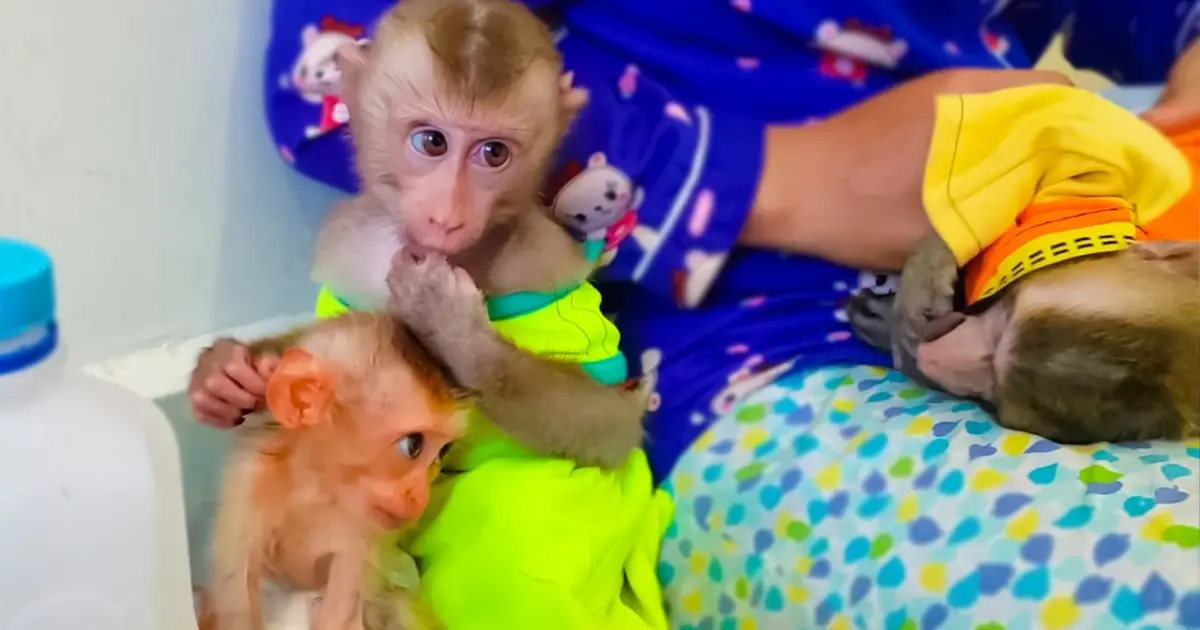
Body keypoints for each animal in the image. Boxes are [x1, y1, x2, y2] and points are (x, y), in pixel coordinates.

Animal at [198, 312, 468, 630]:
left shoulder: (364, 525)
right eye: (413, 445)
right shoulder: (252, 481)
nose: (420, 497)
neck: (319, 482)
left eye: (442, 453)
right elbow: (237, 591)